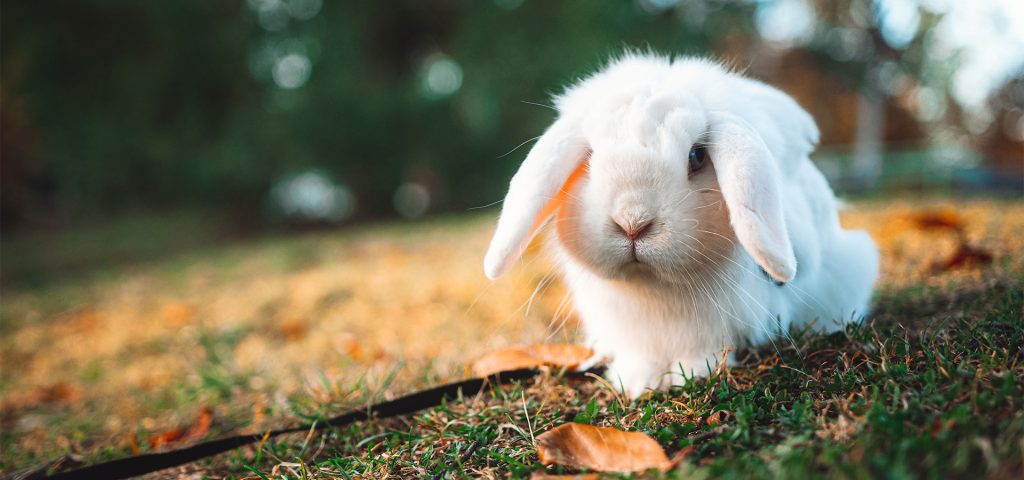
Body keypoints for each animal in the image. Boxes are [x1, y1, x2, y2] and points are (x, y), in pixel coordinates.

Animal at [483, 53, 879, 398]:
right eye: (590, 158)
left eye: (696, 155)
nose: (632, 221)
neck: (654, 291)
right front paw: (636, 382)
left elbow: (704, 350)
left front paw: (689, 374)